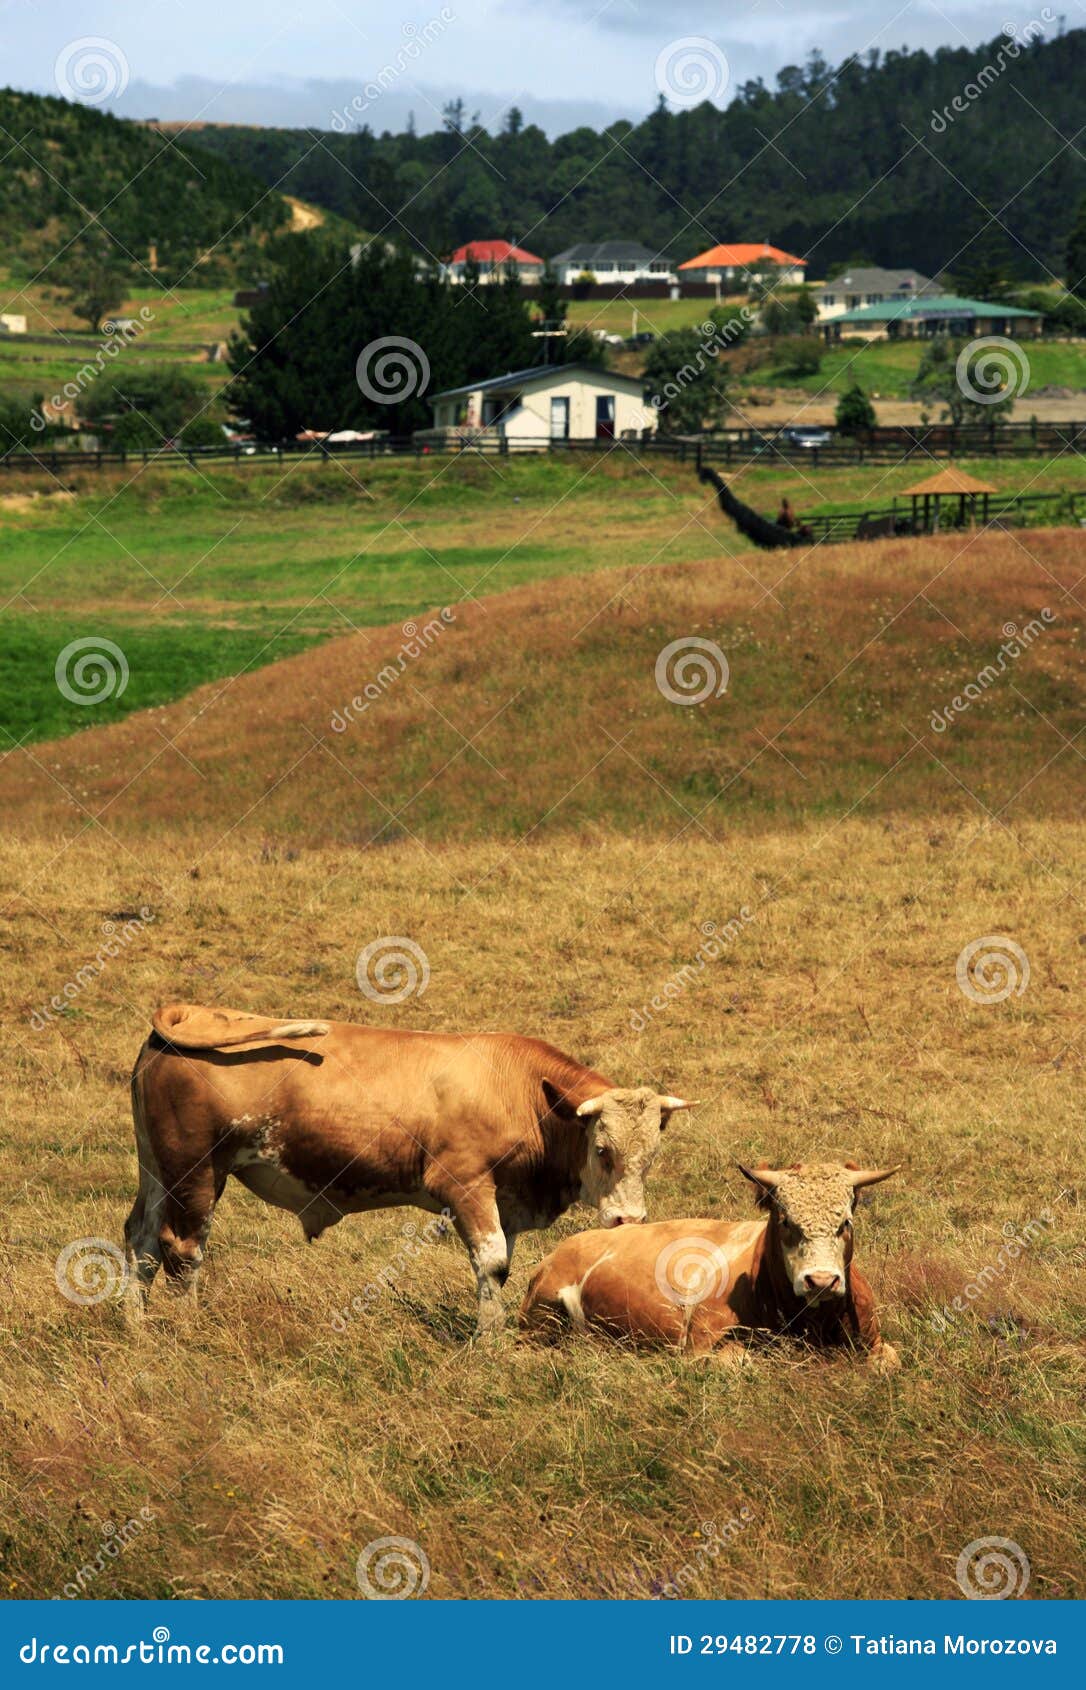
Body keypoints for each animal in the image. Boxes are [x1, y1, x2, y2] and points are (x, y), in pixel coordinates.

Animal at [124, 1002, 694, 1335]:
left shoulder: (505, 1200)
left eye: (651, 1156)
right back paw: (189, 1328)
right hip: (196, 1172)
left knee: (141, 1239)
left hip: (156, 1171)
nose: (628, 1222)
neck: (519, 1089)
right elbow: (492, 1263)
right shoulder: (464, 1186)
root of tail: (193, 1014)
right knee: (183, 1249)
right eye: (603, 1150)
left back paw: (135, 1323)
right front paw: (487, 1344)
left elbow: (500, 1265)